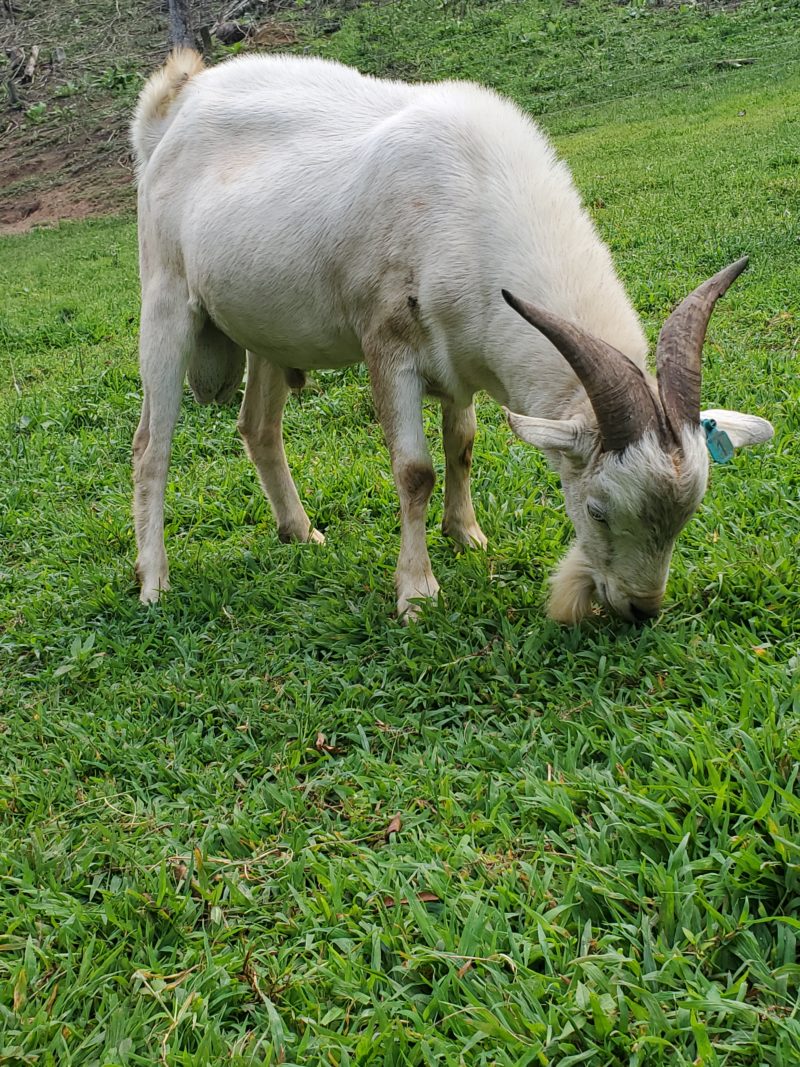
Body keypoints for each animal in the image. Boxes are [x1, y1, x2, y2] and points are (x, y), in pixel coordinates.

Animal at [130, 49, 773, 623]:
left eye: (688, 515)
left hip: (267, 331)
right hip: (163, 299)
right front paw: (417, 594)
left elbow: (462, 443)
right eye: (597, 509)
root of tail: (173, 107)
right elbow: (415, 472)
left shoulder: (462, 351)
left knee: (259, 427)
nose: (640, 610)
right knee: (150, 447)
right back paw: (154, 583)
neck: (475, 197)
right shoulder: (387, 346)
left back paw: (300, 531)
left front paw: (467, 535)